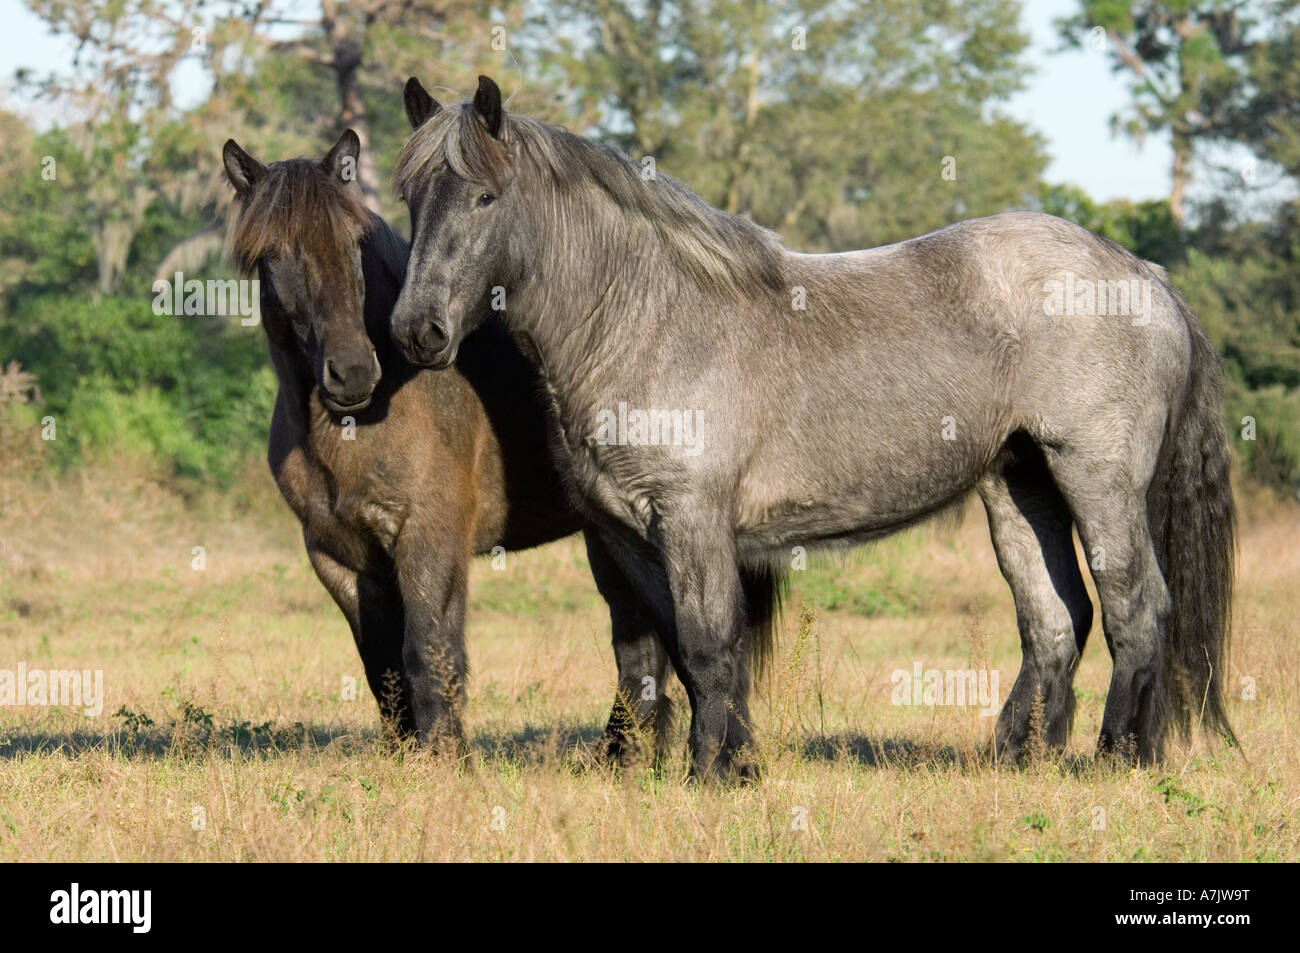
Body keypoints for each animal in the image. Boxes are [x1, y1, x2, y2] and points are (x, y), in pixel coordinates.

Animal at [221, 130, 780, 762]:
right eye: (271, 254)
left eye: (353, 242)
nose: (353, 371)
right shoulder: (338, 558)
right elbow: (383, 672)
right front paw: (404, 759)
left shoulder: (430, 539)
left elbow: (429, 655)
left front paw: (444, 762)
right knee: (643, 646)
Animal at [388, 75, 1236, 781]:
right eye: (410, 198)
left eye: (485, 197)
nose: (416, 330)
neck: (647, 318)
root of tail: (1144, 275)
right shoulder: (627, 535)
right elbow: (671, 653)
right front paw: (730, 760)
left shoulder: (692, 518)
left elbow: (708, 644)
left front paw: (714, 774)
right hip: (1019, 483)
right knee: (1056, 620)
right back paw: (1019, 758)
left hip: (1096, 480)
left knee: (1136, 607)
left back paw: (1119, 756)